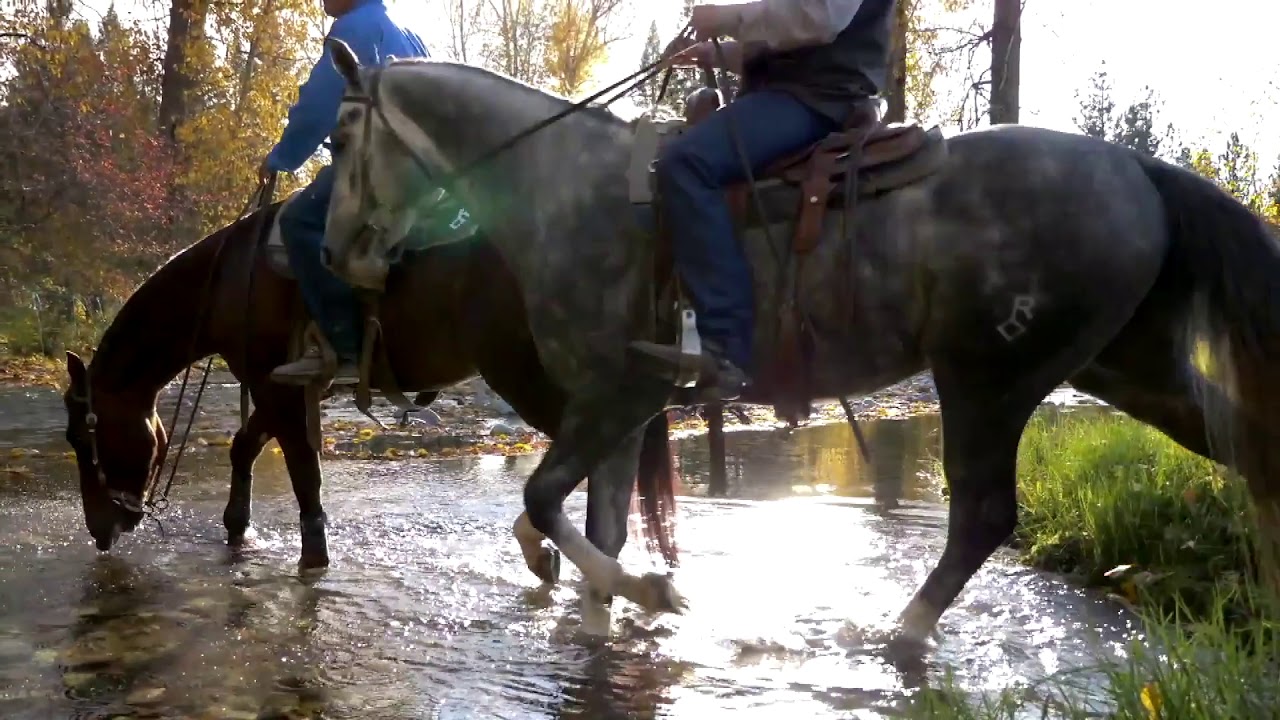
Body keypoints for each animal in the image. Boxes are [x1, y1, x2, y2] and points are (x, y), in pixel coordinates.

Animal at [61, 197, 679, 582]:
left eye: (82, 438)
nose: (100, 530)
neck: (232, 282)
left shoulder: (274, 387)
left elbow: (304, 475)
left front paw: (312, 558)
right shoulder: (276, 386)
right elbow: (245, 447)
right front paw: (238, 529)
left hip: (527, 374)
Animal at [314, 41, 1280, 648]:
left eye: (338, 135)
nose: (334, 254)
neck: (566, 190)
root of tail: (1135, 170)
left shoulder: (614, 394)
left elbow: (550, 501)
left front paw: (655, 590)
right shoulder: (618, 410)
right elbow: (599, 527)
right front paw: (605, 615)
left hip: (988, 378)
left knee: (983, 516)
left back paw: (900, 633)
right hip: (1128, 366)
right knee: (1248, 445)